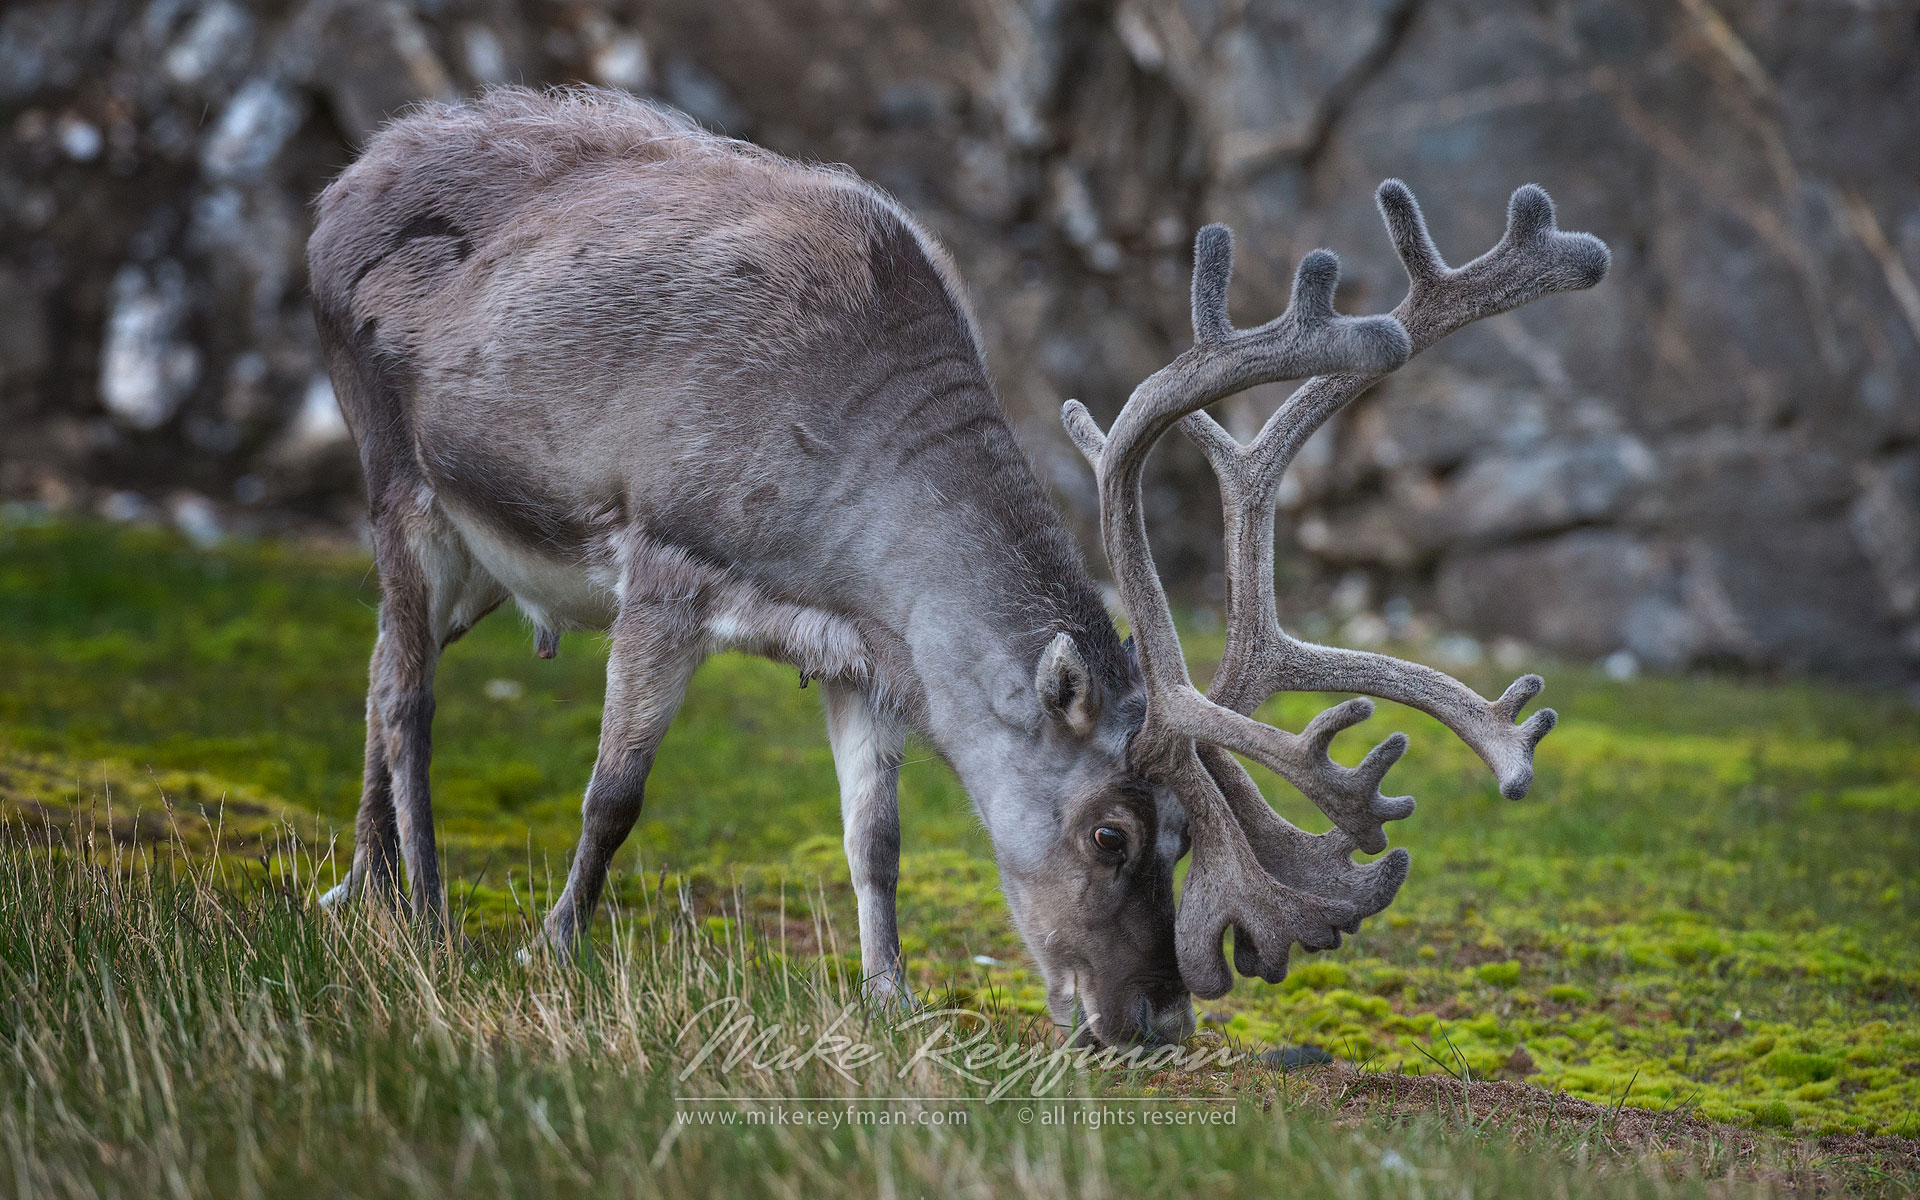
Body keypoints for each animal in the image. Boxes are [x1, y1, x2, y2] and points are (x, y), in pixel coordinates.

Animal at [307, 87, 1607, 1047]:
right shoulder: (668, 558)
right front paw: (554, 946)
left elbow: (874, 841)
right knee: (410, 697)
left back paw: (354, 890)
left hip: (478, 564)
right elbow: (614, 793)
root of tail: (335, 191)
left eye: (1182, 841)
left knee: (373, 673)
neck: (845, 504)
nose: (1156, 1023)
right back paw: (427, 911)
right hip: (395, 477)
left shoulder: (866, 655)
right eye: (1112, 836)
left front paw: (890, 1000)